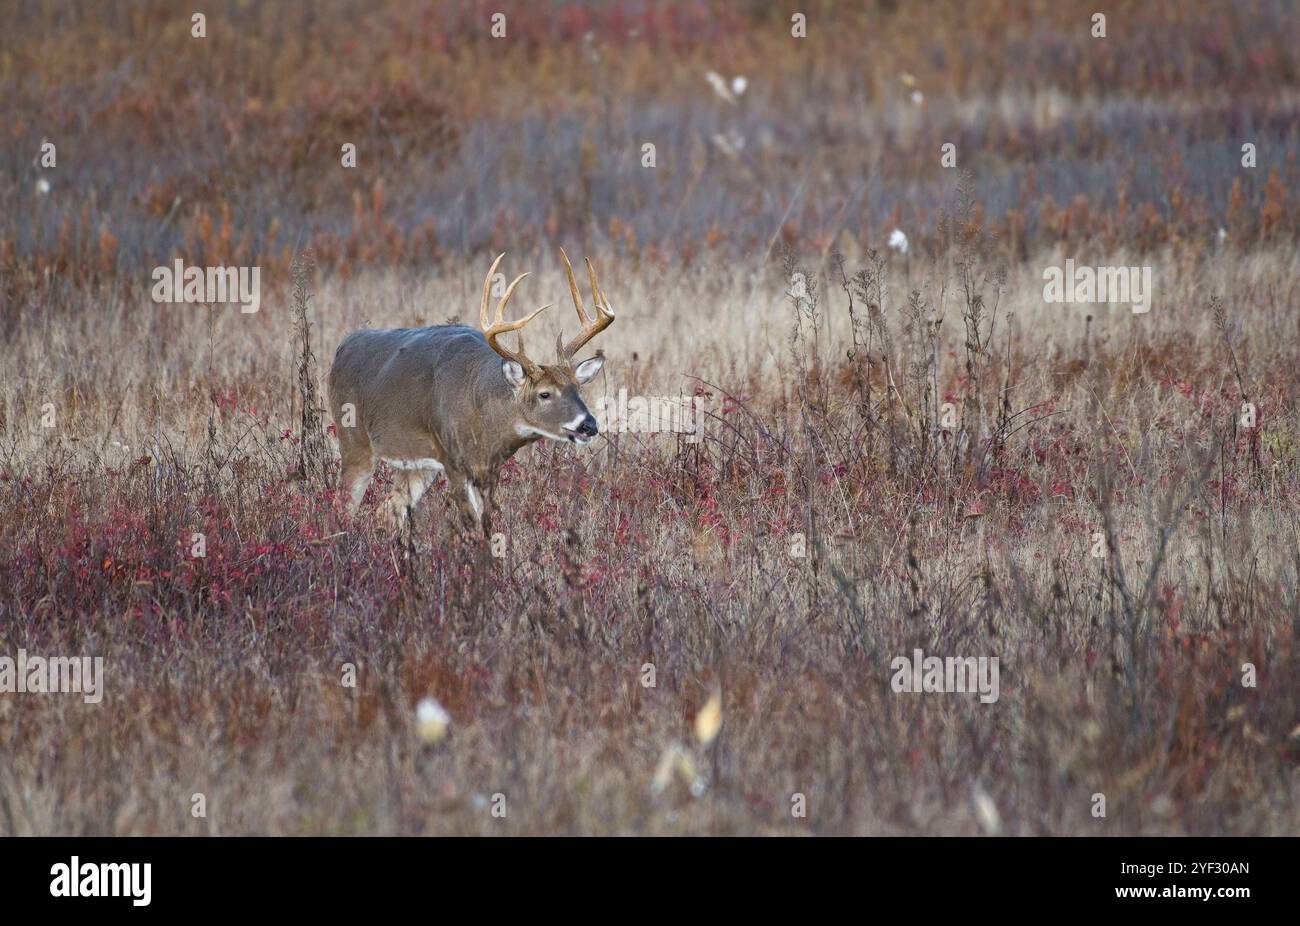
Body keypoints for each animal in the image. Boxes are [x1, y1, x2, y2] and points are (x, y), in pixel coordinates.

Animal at [327, 250, 615, 536]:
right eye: (545, 394)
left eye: (577, 389)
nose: (589, 425)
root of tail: (342, 347)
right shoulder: (453, 461)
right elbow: (472, 525)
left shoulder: (485, 469)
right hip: (354, 439)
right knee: (342, 505)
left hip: (417, 463)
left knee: (387, 510)